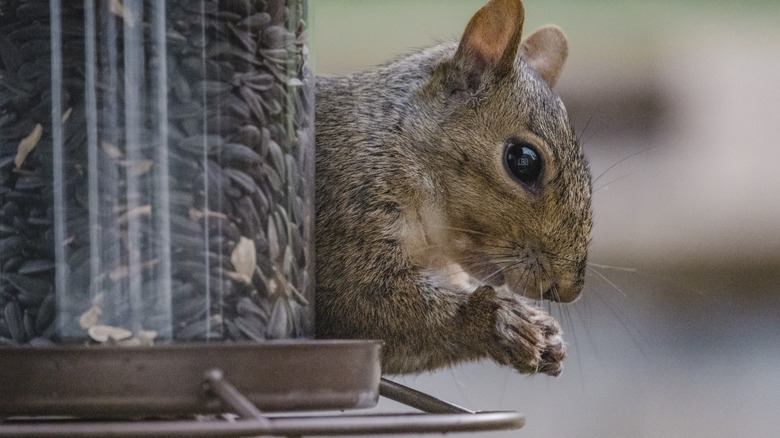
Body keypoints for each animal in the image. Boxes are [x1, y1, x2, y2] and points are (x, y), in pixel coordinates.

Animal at [314, 0, 592, 376]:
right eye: (523, 161)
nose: (567, 290)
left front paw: (548, 336)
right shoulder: (348, 213)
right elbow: (362, 302)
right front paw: (498, 321)